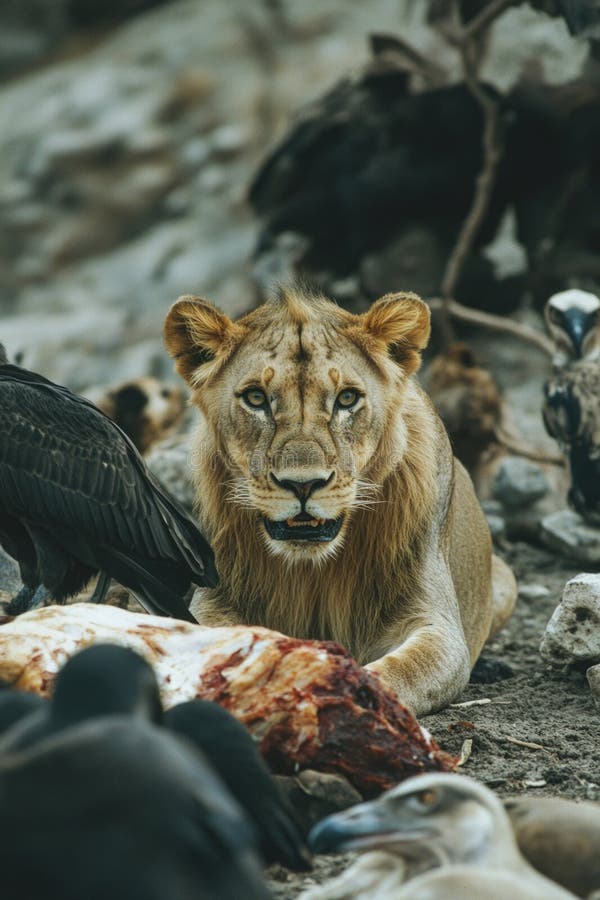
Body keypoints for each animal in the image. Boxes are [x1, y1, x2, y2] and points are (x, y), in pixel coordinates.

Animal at [164, 286, 517, 715]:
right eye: (256, 398)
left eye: (346, 399)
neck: (313, 569)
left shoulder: (438, 626)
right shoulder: (213, 602)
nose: (303, 485)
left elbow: (401, 670)